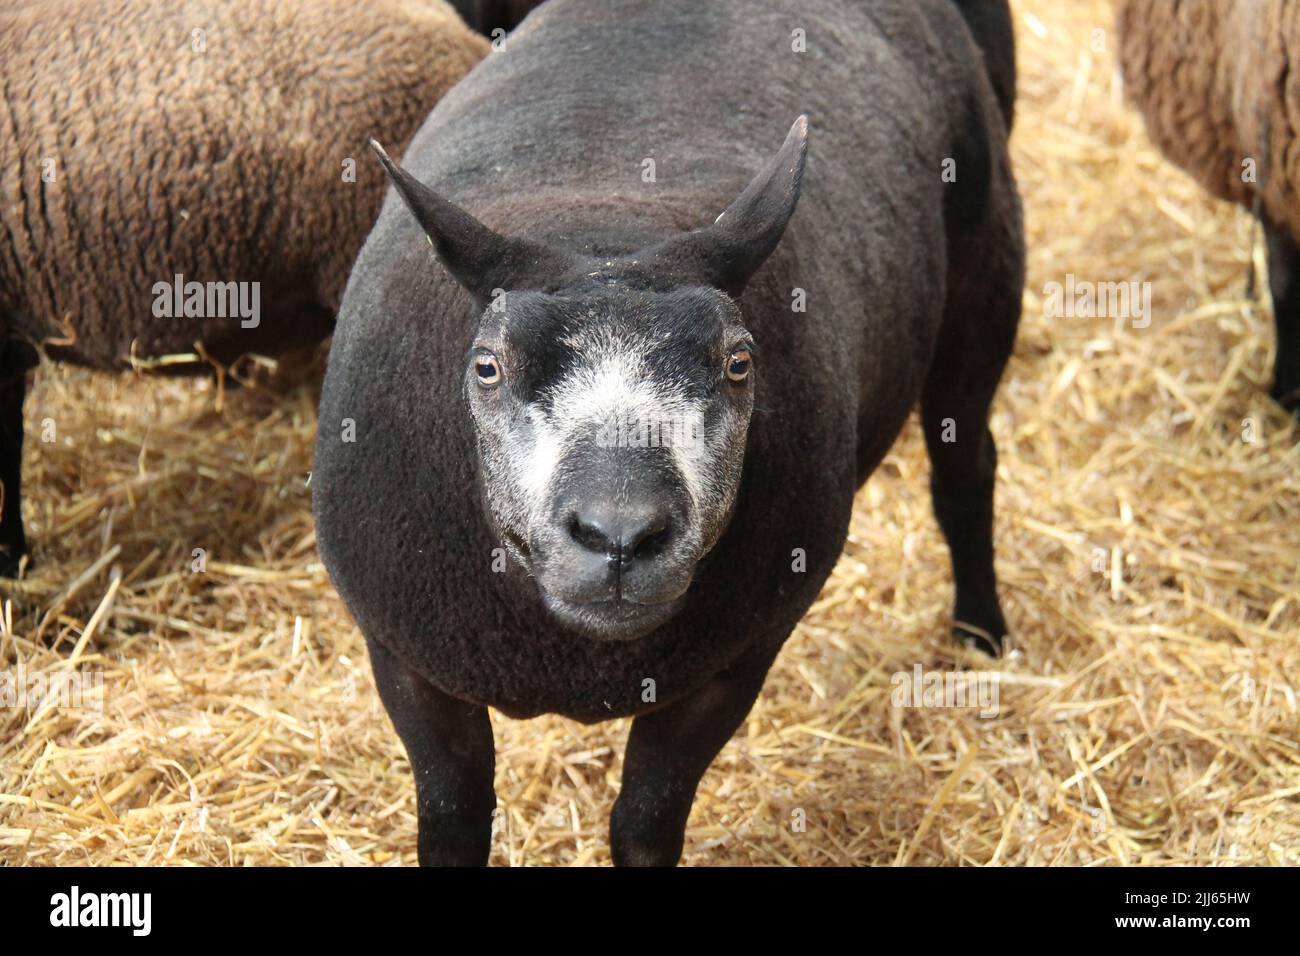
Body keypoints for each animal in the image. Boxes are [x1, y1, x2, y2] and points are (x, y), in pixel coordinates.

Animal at [312, 0, 1024, 866]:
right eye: (487, 366)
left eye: (739, 363)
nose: (620, 536)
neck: (603, 226)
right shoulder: (407, 663)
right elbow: (453, 818)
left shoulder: (733, 662)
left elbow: (646, 821)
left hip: (987, 268)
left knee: (966, 469)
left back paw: (980, 634)